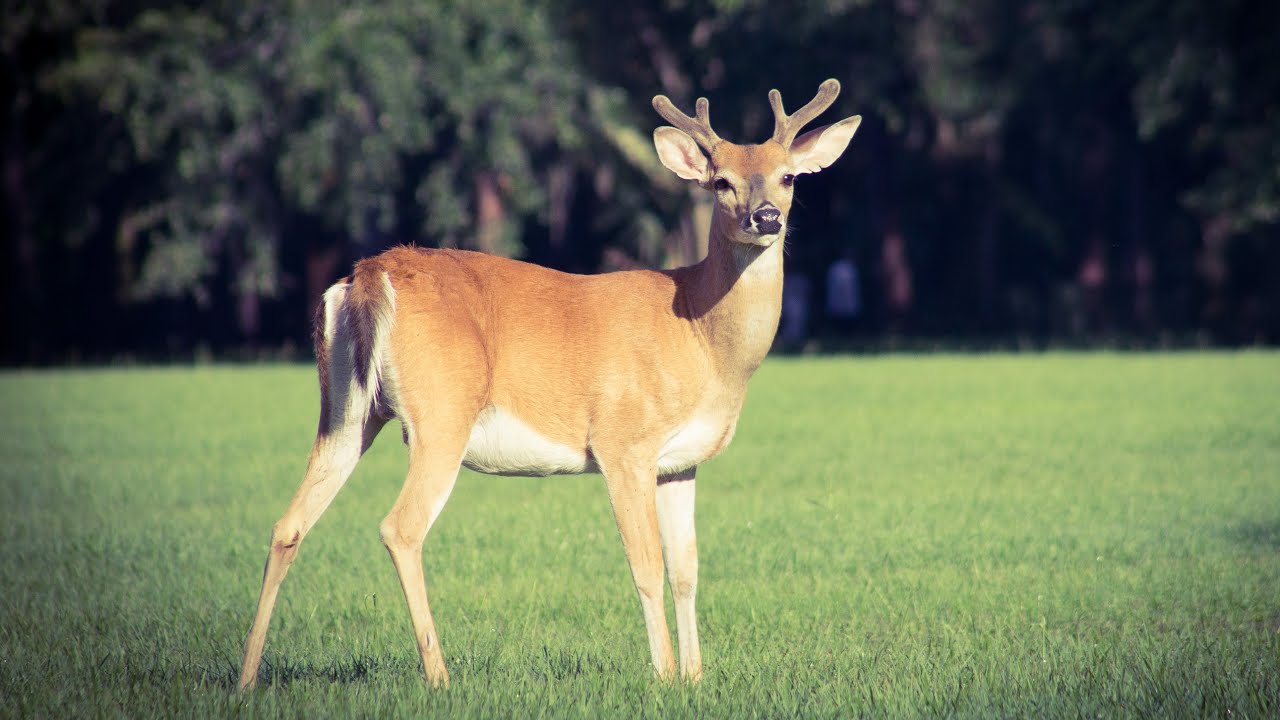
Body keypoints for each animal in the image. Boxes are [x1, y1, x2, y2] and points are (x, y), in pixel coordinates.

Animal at [237, 79, 861, 689]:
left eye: (788, 176)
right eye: (722, 182)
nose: (766, 217)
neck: (702, 337)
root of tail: (371, 272)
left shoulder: (680, 461)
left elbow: (687, 570)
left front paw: (695, 678)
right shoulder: (623, 442)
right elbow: (648, 566)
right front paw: (663, 677)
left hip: (347, 409)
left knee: (288, 524)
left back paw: (246, 678)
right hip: (443, 410)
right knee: (401, 528)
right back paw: (440, 678)